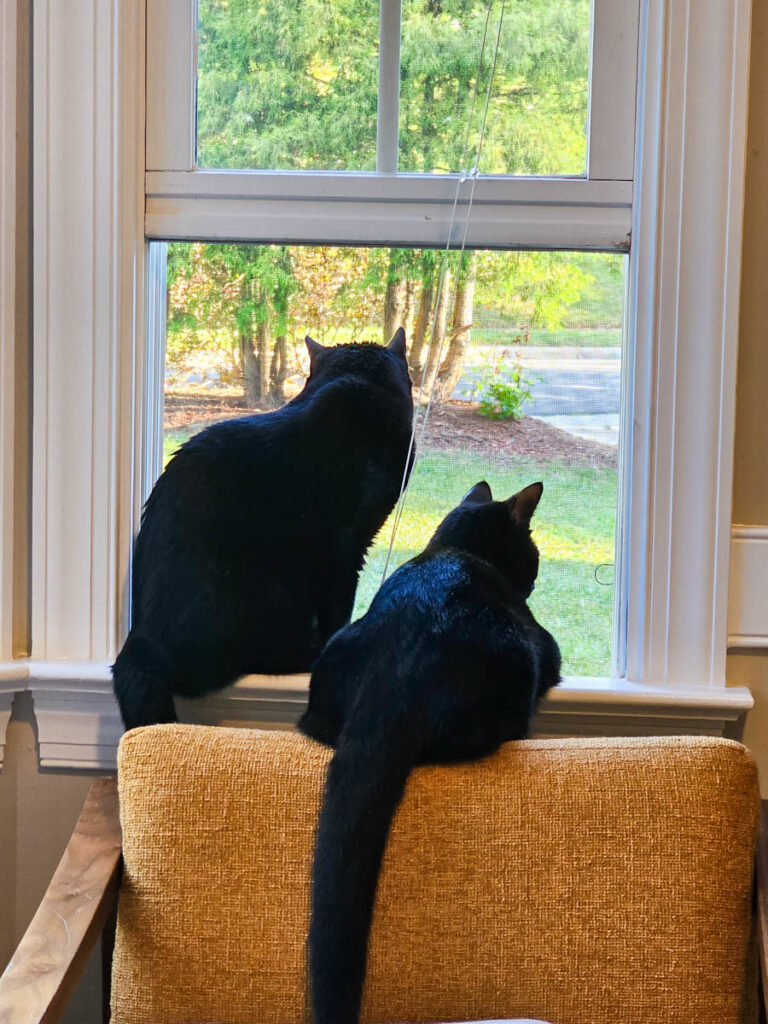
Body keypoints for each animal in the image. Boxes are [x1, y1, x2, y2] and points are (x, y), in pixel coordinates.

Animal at [112, 327, 415, 729]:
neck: (357, 384)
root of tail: (140, 644)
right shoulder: (347, 550)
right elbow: (339, 608)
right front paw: (336, 639)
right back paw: (309, 652)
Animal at [299, 479, 561, 1024]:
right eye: (531, 553)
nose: (533, 575)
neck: (452, 550)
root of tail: (397, 667)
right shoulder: (547, 646)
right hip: (513, 672)